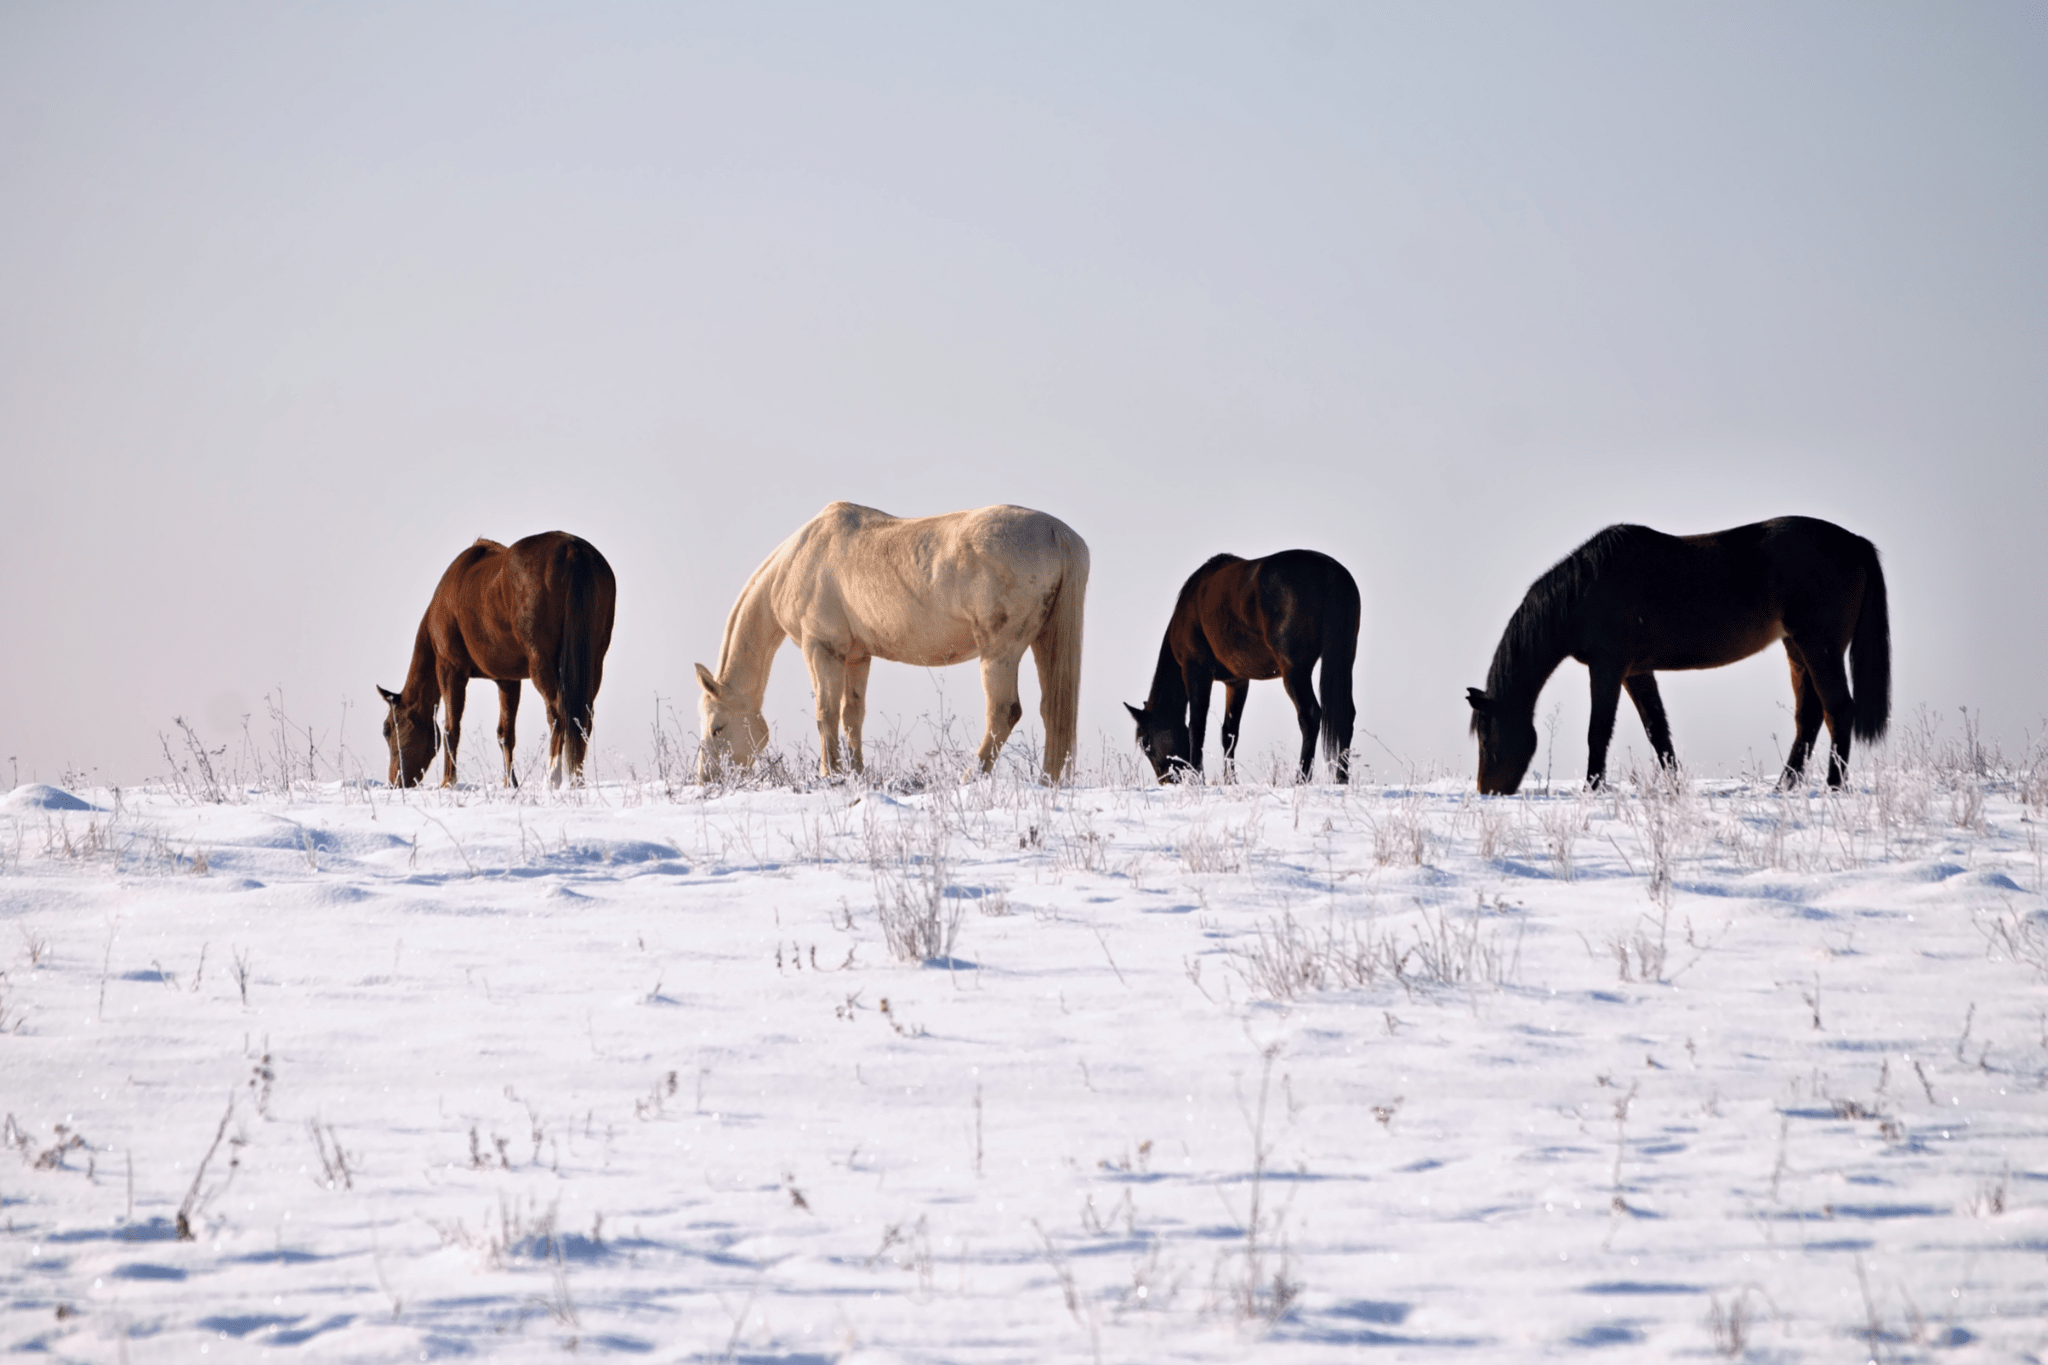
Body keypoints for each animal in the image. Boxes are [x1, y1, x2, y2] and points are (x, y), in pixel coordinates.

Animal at [378, 532, 617, 789]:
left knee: (557, 713)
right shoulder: (507, 680)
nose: (394, 782)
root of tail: (573, 549)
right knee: (583, 717)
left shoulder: (450, 668)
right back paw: (577, 779)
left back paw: (552, 777)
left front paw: (448, 782)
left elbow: (452, 728)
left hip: (541, 664)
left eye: (387, 729)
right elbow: (505, 733)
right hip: (594, 662)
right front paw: (510, 783)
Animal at [695, 502, 1089, 782]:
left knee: (1004, 711)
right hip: (1044, 642)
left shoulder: (821, 648)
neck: (798, 560)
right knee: (1052, 711)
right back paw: (1047, 781)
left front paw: (829, 773)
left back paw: (970, 776)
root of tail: (1057, 532)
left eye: (717, 727)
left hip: (1000, 652)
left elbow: (826, 712)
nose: (705, 779)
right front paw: (855, 773)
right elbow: (851, 715)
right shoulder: (857, 656)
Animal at [1126, 550, 1359, 784]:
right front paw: (1230, 781)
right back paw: (1341, 778)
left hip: (1295, 672)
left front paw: (1199, 778)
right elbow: (1229, 733)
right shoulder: (1237, 682)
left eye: (1146, 744)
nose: (1167, 781)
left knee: (1309, 715)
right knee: (1346, 716)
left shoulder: (1196, 672)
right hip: (1343, 663)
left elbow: (1197, 727)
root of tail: (1330, 570)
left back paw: (1301, 779)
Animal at [1465, 516, 1889, 795]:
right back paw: (1785, 786)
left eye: (1487, 737)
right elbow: (1658, 731)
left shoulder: (1608, 667)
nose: (1488, 791)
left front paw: (1592, 789)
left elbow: (1598, 731)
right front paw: (1675, 787)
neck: (1585, 591)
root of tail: (1856, 542)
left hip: (1819, 646)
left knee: (1838, 710)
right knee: (1809, 716)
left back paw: (1834, 787)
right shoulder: (1635, 672)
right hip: (1797, 648)